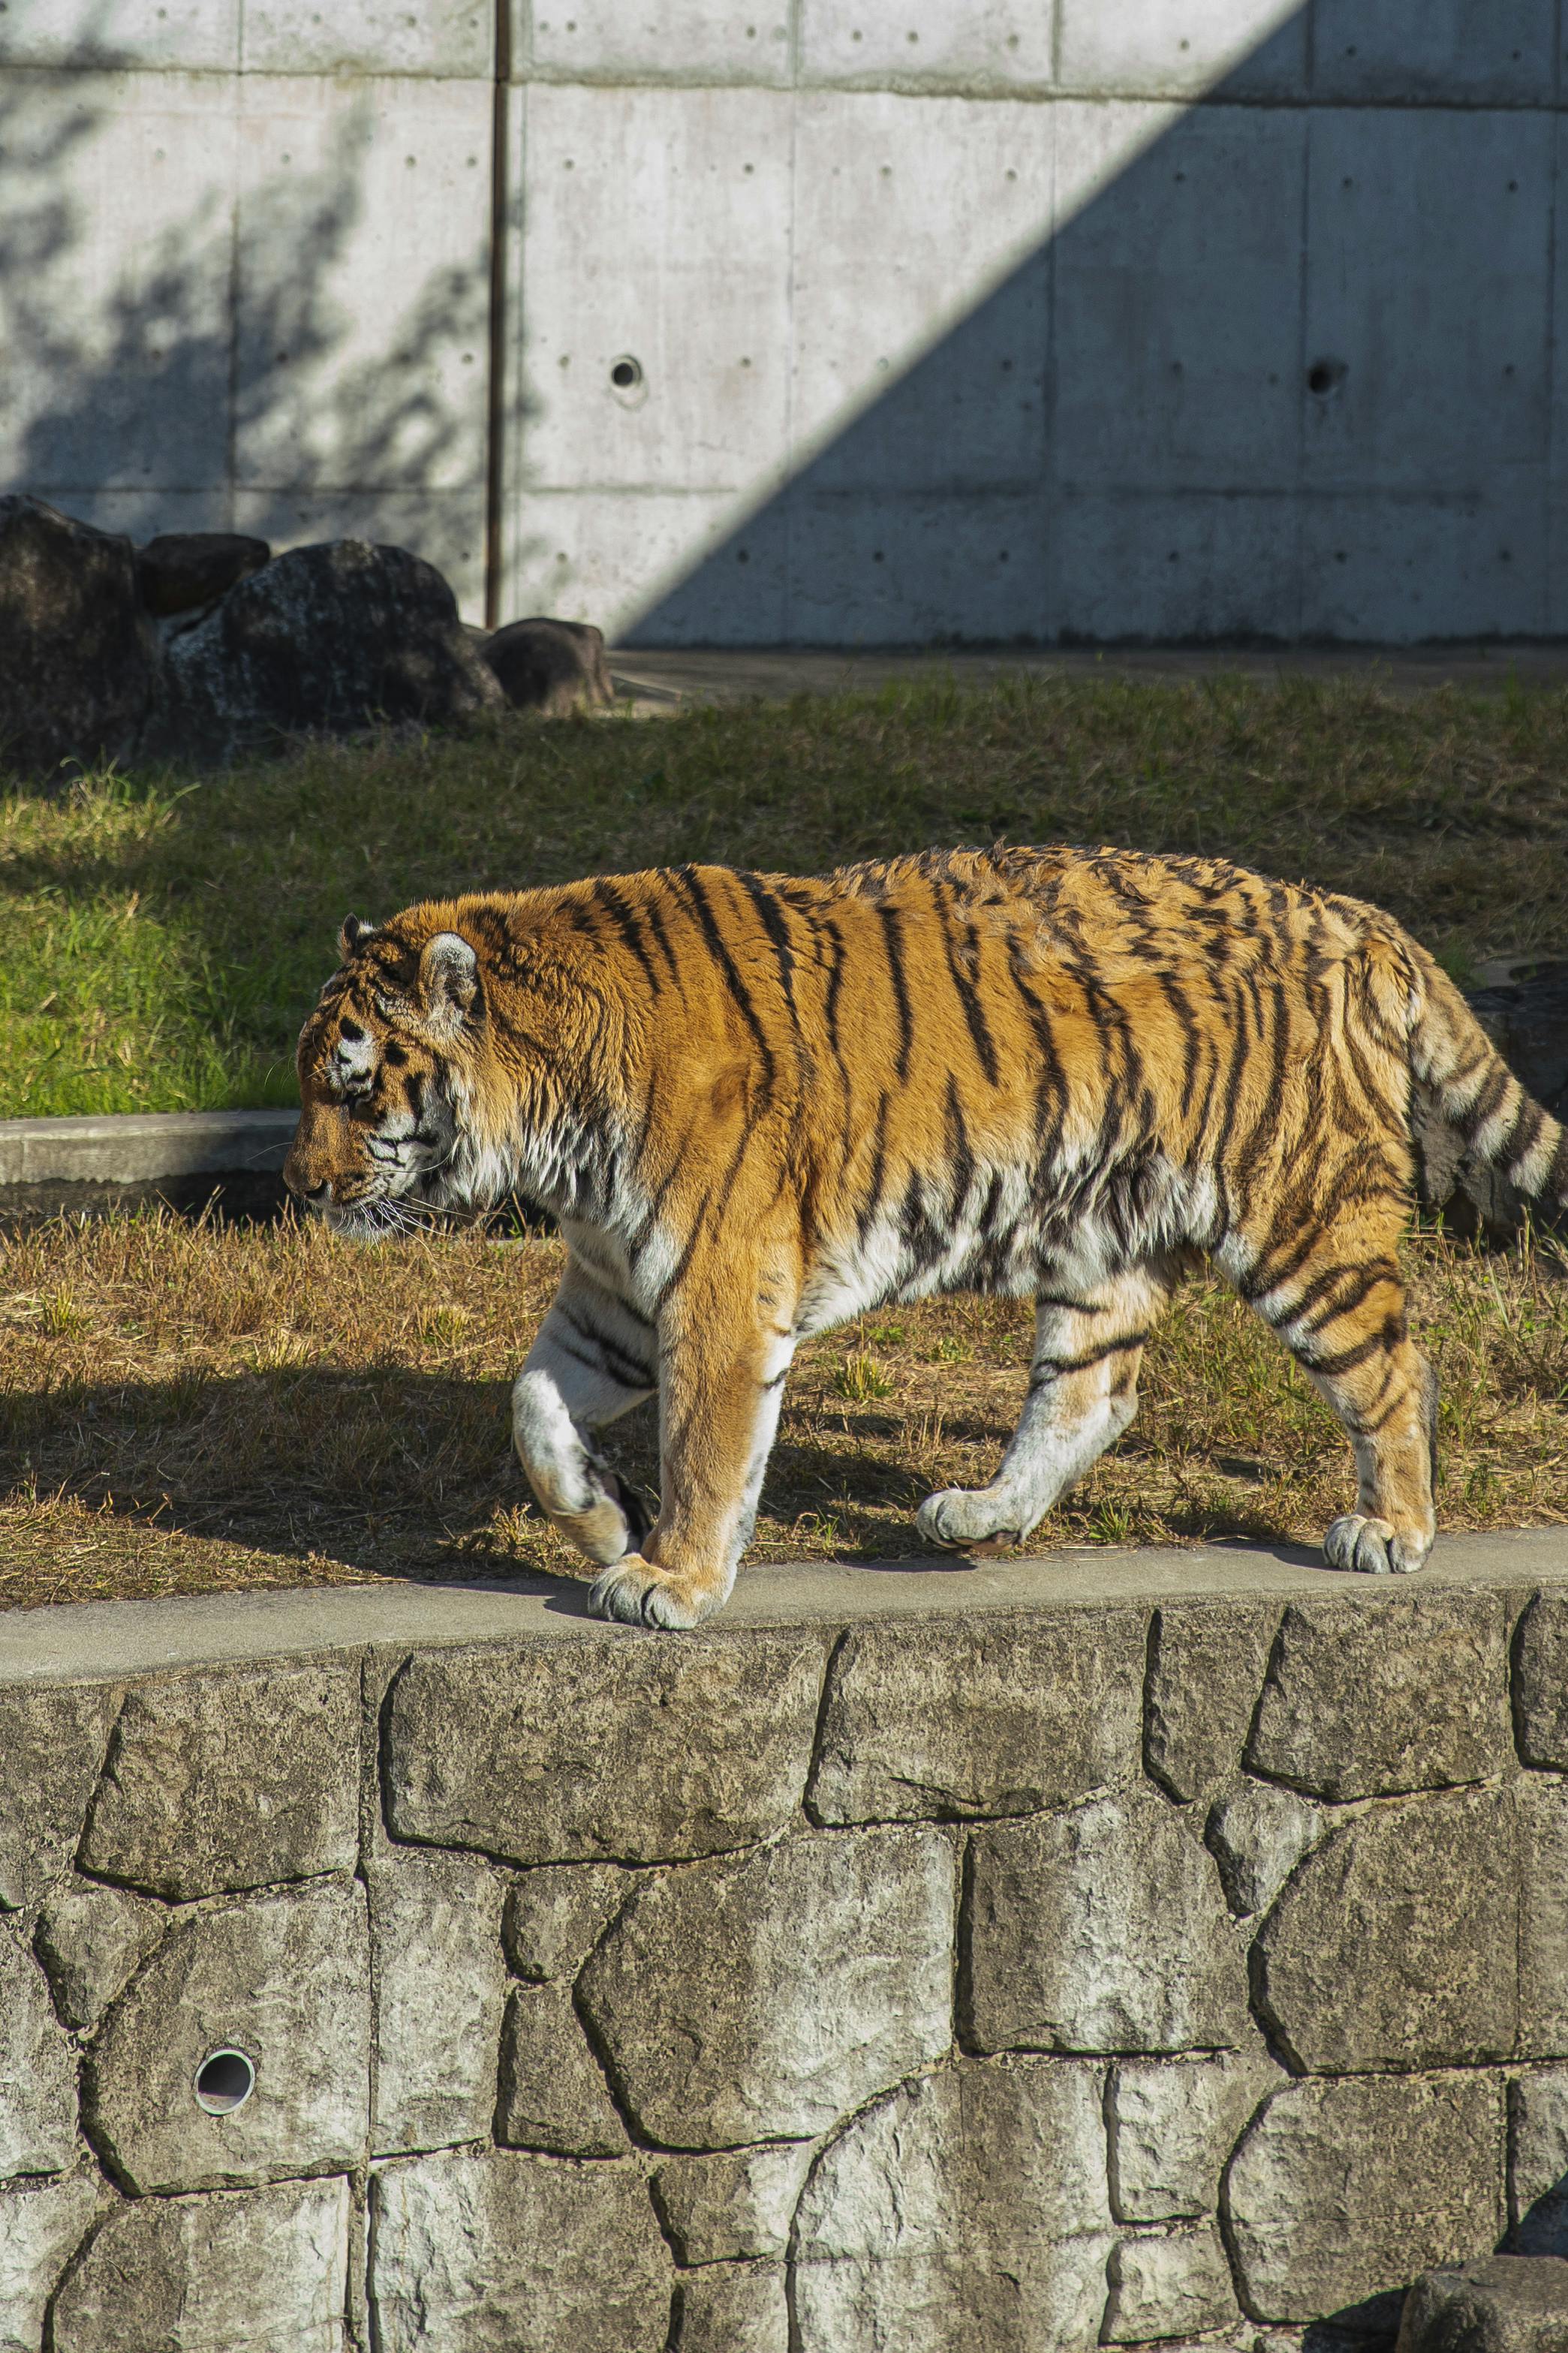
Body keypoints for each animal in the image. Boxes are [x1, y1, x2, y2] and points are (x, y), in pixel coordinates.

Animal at [283, 846, 1567, 1627]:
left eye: (353, 1088)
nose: (297, 1182)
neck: (555, 1135)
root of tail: (1359, 914)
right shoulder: (613, 1292)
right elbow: (531, 1407)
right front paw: (606, 1519)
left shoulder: (714, 1286)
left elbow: (705, 1445)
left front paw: (671, 1575)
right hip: (1098, 1229)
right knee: (1092, 1389)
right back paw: (981, 1513)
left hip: (1301, 1218)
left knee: (1394, 1369)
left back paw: (1390, 1529)